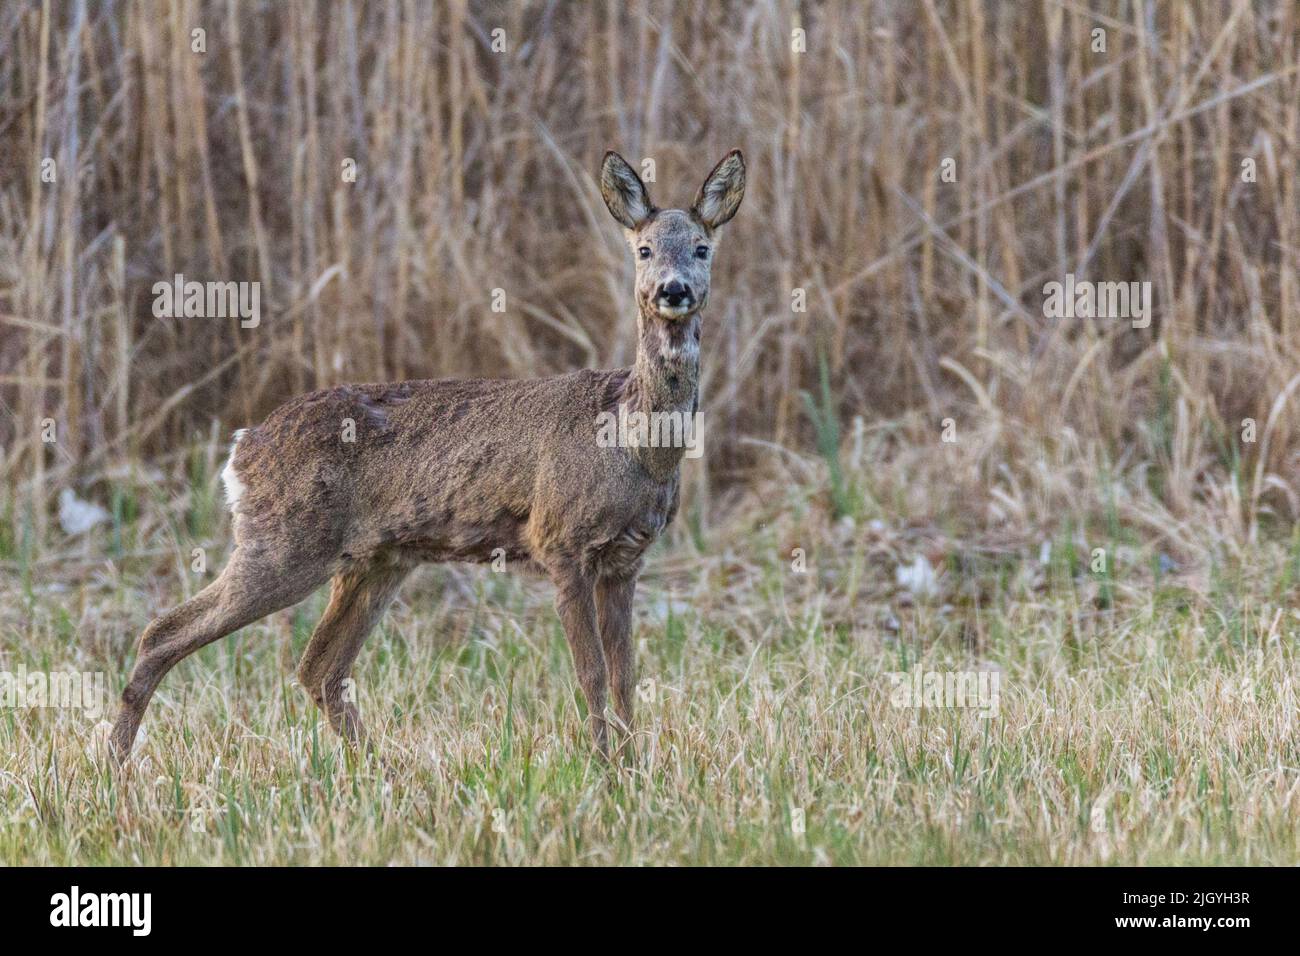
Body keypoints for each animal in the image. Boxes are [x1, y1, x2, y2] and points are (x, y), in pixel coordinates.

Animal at [109, 149, 746, 763]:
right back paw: (116, 766)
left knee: (320, 668)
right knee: (163, 633)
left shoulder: (625, 559)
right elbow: (589, 675)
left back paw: (381, 768)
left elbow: (625, 678)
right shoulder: (559, 539)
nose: (673, 290)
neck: (634, 444)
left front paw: (635, 768)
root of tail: (242, 447)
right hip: (283, 542)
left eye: (702, 247)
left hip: (375, 560)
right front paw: (604, 769)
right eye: (643, 248)